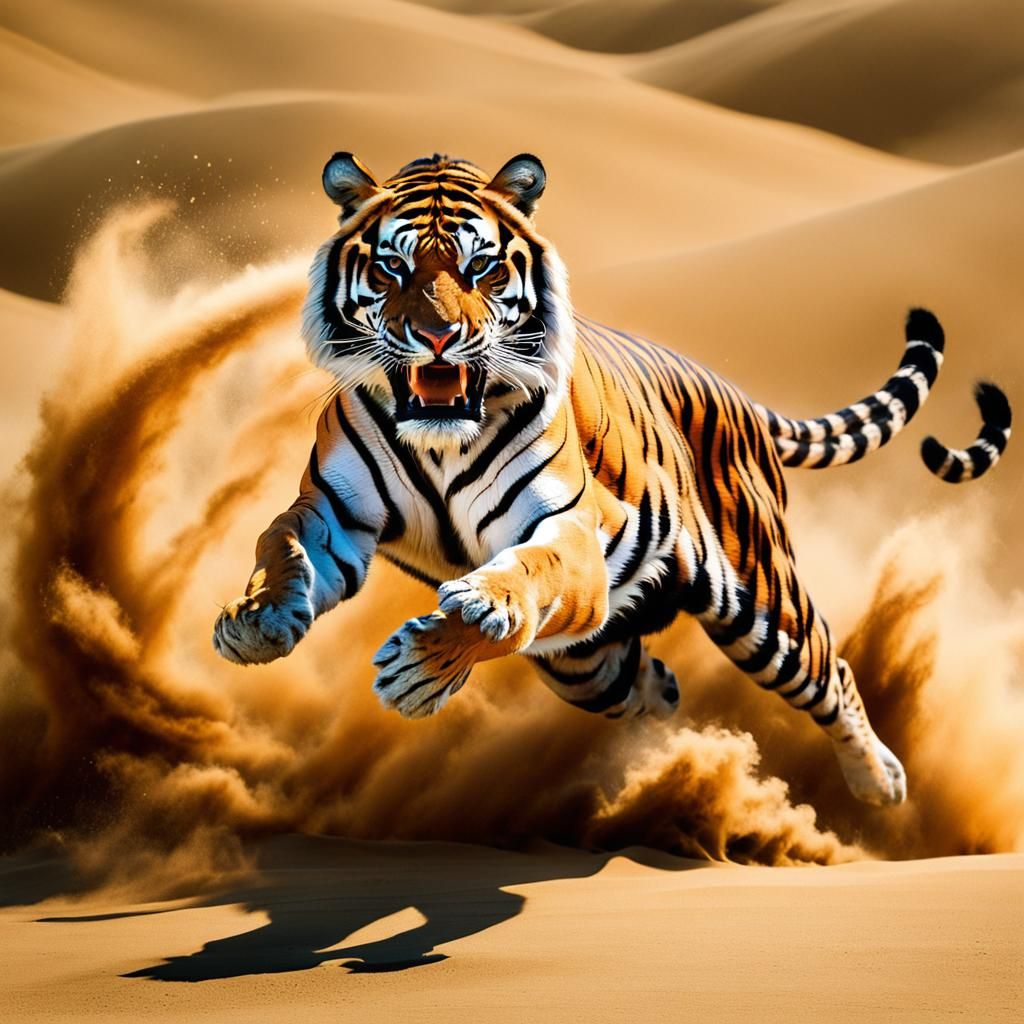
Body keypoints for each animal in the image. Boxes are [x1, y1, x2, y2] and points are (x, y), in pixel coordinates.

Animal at [213, 152, 1012, 807]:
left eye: (481, 270)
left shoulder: (567, 528)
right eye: (391, 269)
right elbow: (280, 547)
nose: (438, 337)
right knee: (641, 683)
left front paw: (429, 661)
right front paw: (255, 622)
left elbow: (520, 579)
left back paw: (880, 782)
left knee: (832, 673)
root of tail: (739, 398)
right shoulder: (334, 514)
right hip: (586, 667)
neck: (441, 436)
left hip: (764, 607)